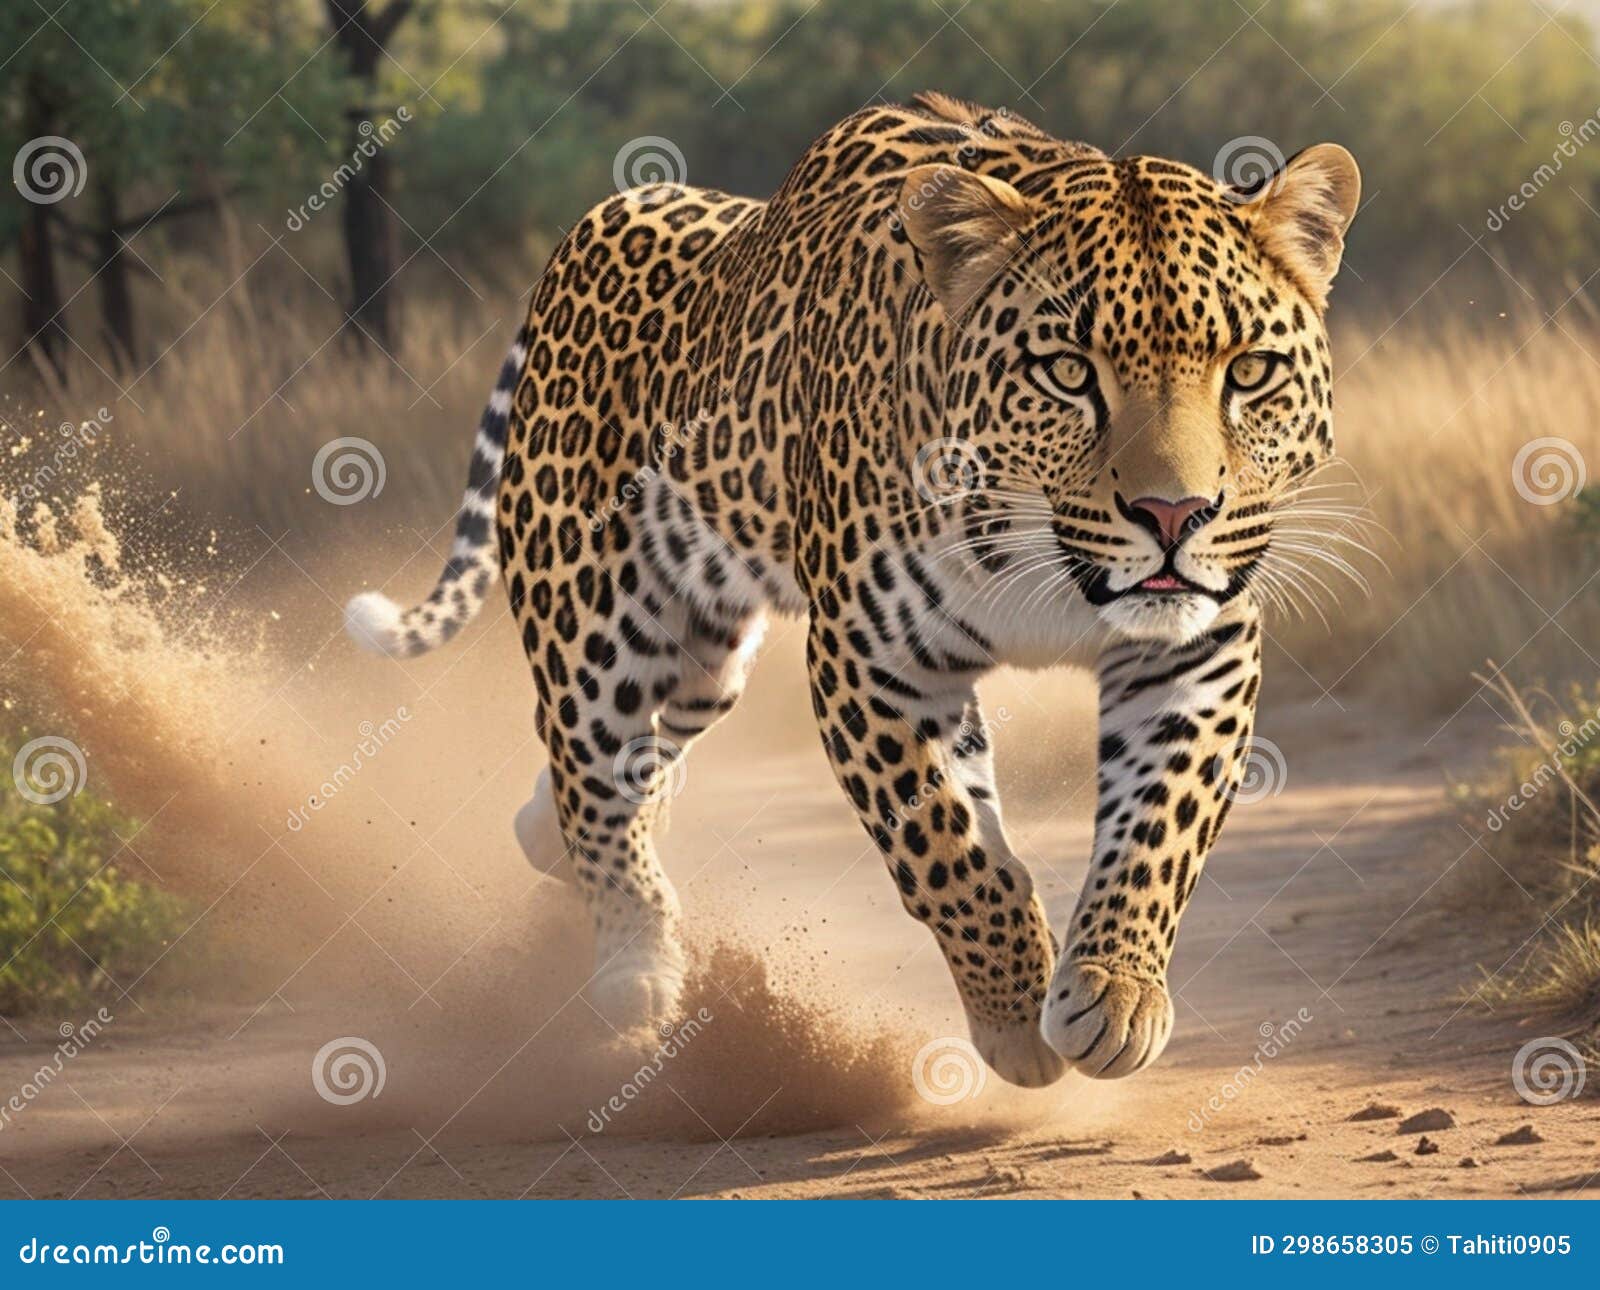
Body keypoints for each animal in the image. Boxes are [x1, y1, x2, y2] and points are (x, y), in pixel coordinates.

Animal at [345, 93, 1360, 1088]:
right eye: (1069, 373)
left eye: (1250, 372)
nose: (1174, 512)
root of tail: (611, 212)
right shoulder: (871, 662)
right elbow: (944, 849)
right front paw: (1012, 1018)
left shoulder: (1197, 648)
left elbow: (1162, 821)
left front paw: (1114, 988)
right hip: (599, 618)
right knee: (588, 764)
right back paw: (636, 964)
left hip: (704, 656)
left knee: (627, 758)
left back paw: (548, 835)